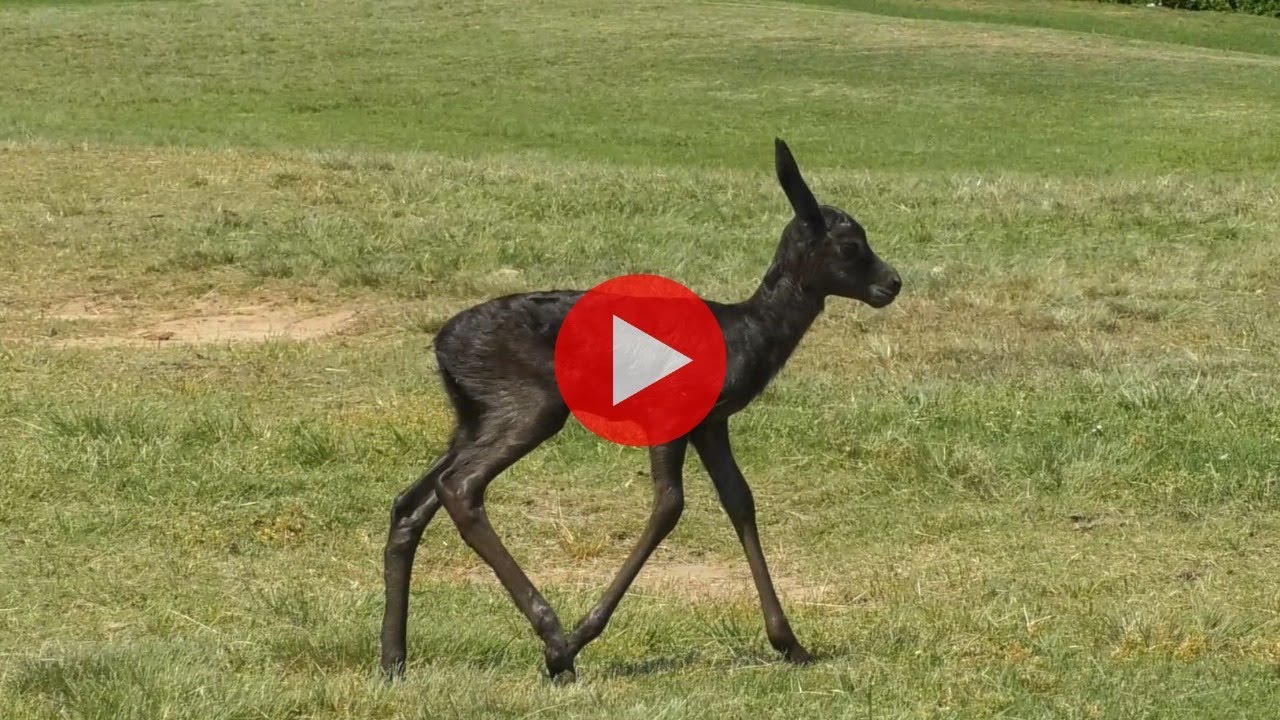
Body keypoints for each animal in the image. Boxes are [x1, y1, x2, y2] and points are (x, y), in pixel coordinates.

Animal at [380, 138, 903, 681]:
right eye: (851, 245)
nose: (893, 282)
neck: (746, 331)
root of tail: (441, 346)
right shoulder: (668, 416)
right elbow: (669, 504)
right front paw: (574, 642)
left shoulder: (712, 422)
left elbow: (739, 499)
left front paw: (791, 645)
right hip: (532, 406)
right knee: (459, 487)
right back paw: (553, 641)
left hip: (472, 419)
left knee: (411, 502)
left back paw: (394, 659)